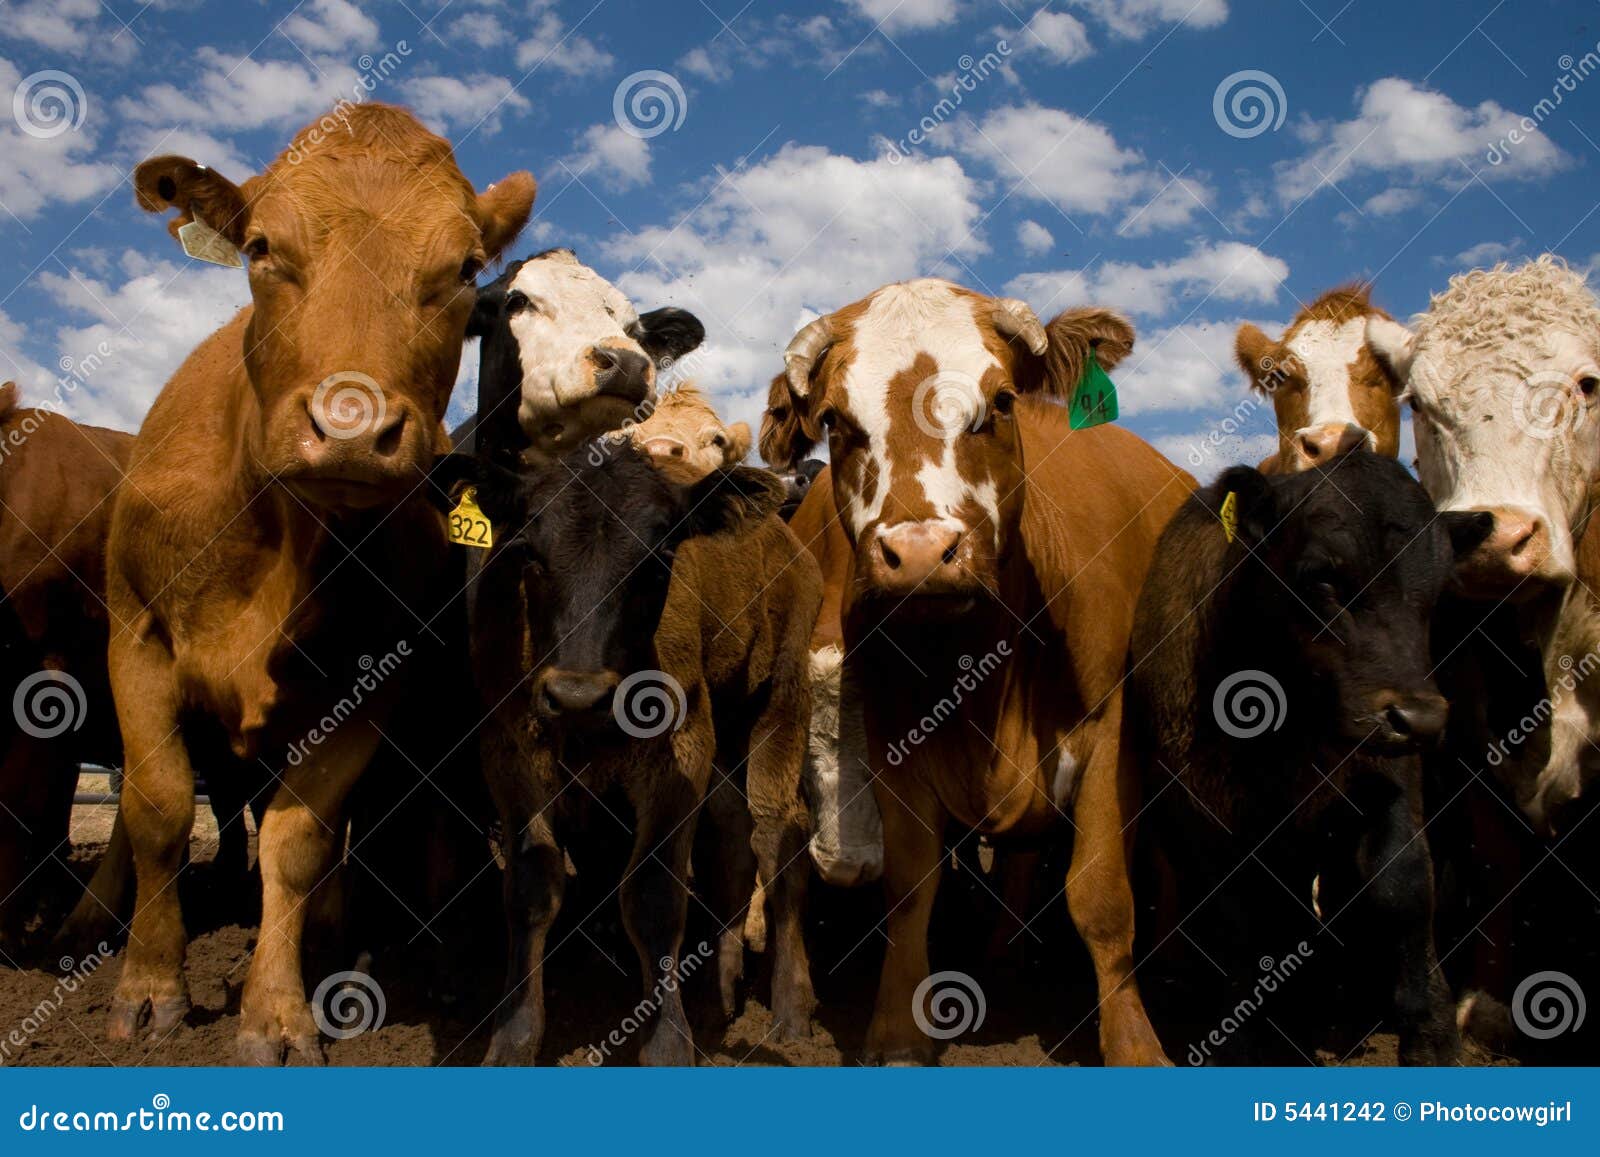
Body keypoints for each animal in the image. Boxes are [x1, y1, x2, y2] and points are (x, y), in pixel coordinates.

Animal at [99, 103, 535, 1064]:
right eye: (262, 248)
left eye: (463, 269)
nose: (351, 428)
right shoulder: (135, 637)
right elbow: (158, 808)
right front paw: (148, 985)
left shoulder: (370, 682)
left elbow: (299, 840)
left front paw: (277, 1013)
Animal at [429, 442, 820, 1064]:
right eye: (528, 552)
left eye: (658, 560)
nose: (578, 694)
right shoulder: (511, 752)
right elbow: (531, 886)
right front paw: (514, 1038)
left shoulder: (681, 755)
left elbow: (653, 896)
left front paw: (666, 1043)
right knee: (733, 838)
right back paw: (720, 989)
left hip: (779, 697)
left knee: (777, 833)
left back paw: (789, 1003)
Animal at [764, 278, 1194, 1064]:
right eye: (836, 420)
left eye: (1000, 402)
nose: (920, 550)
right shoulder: (895, 743)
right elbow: (910, 887)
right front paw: (898, 1033)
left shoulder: (1111, 734)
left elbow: (1101, 897)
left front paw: (1134, 1044)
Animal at [1130, 453, 1488, 1063]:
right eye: (1321, 576)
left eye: (1438, 589)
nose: (1419, 719)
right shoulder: (1201, 816)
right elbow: (1239, 918)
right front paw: (1246, 1038)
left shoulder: (1386, 780)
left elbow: (1402, 886)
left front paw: (1430, 1030)